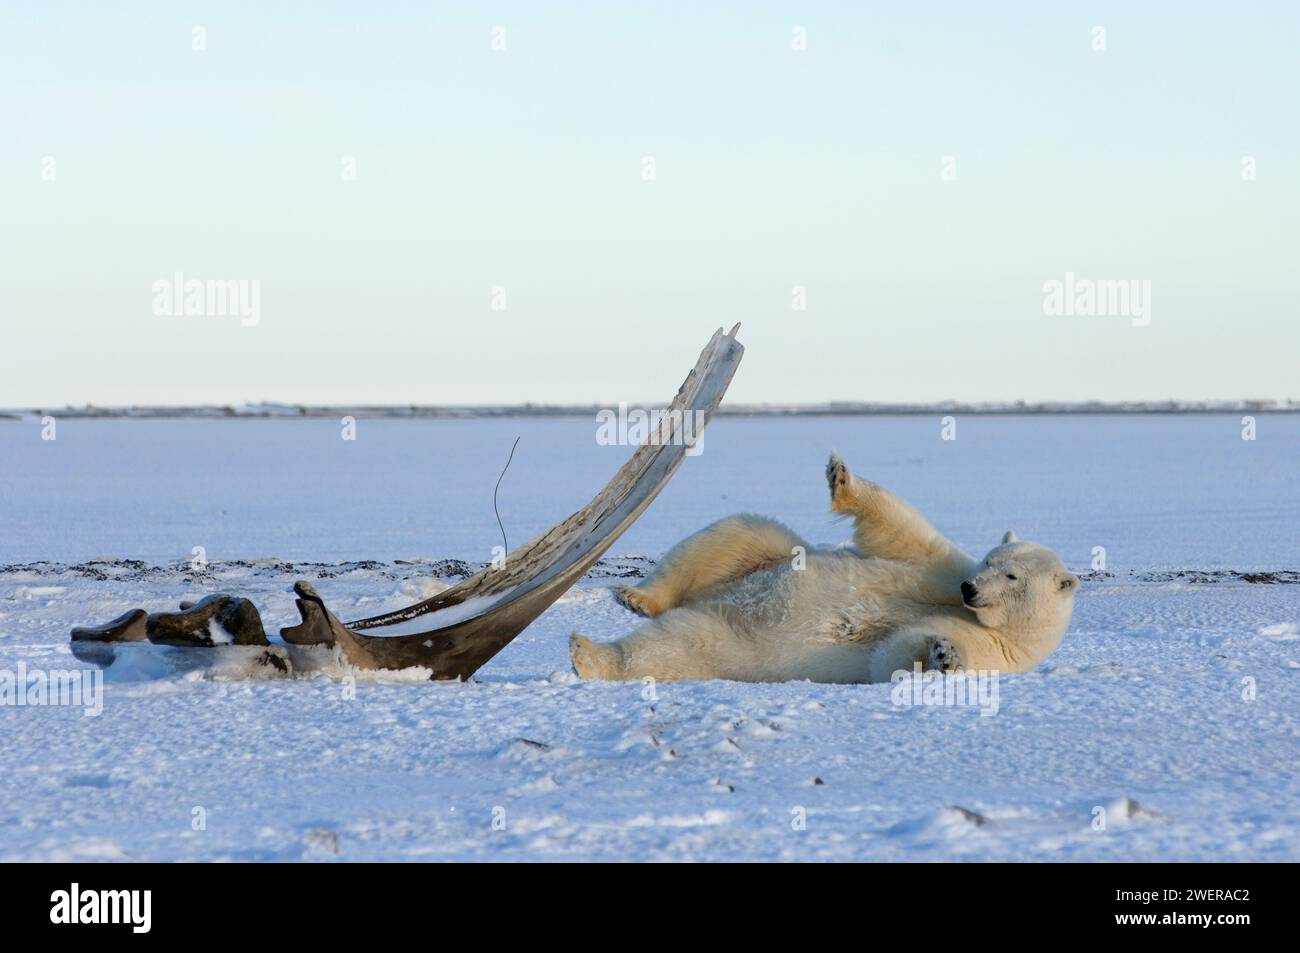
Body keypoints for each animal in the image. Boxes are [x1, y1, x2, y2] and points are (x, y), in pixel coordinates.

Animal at [569, 453, 1078, 683]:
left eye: (1012, 576)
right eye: (992, 560)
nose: (970, 588)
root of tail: (711, 602)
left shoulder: (999, 649)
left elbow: (891, 657)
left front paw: (943, 655)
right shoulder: (942, 565)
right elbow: (900, 531)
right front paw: (840, 475)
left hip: (731, 644)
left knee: (673, 648)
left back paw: (590, 656)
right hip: (757, 564)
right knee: (733, 535)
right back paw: (635, 600)